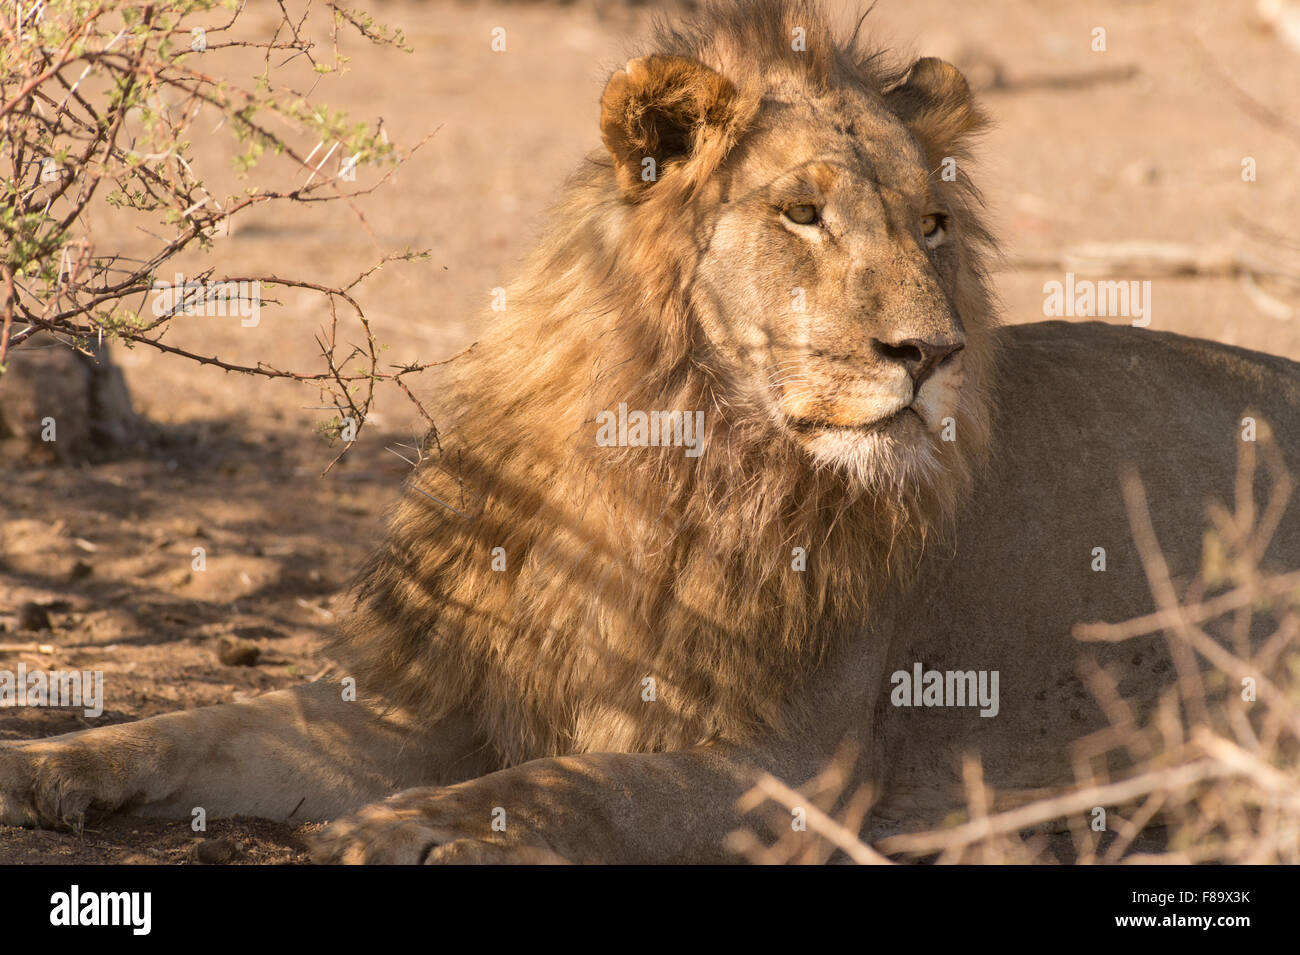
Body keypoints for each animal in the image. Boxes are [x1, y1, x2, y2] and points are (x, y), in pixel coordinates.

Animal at [2, 0, 1298, 864]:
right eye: (803, 213)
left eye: (932, 226)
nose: (932, 355)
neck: (673, 449)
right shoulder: (433, 699)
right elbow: (212, 723)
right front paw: (47, 766)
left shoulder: (791, 771)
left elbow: (578, 781)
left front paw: (419, 825)